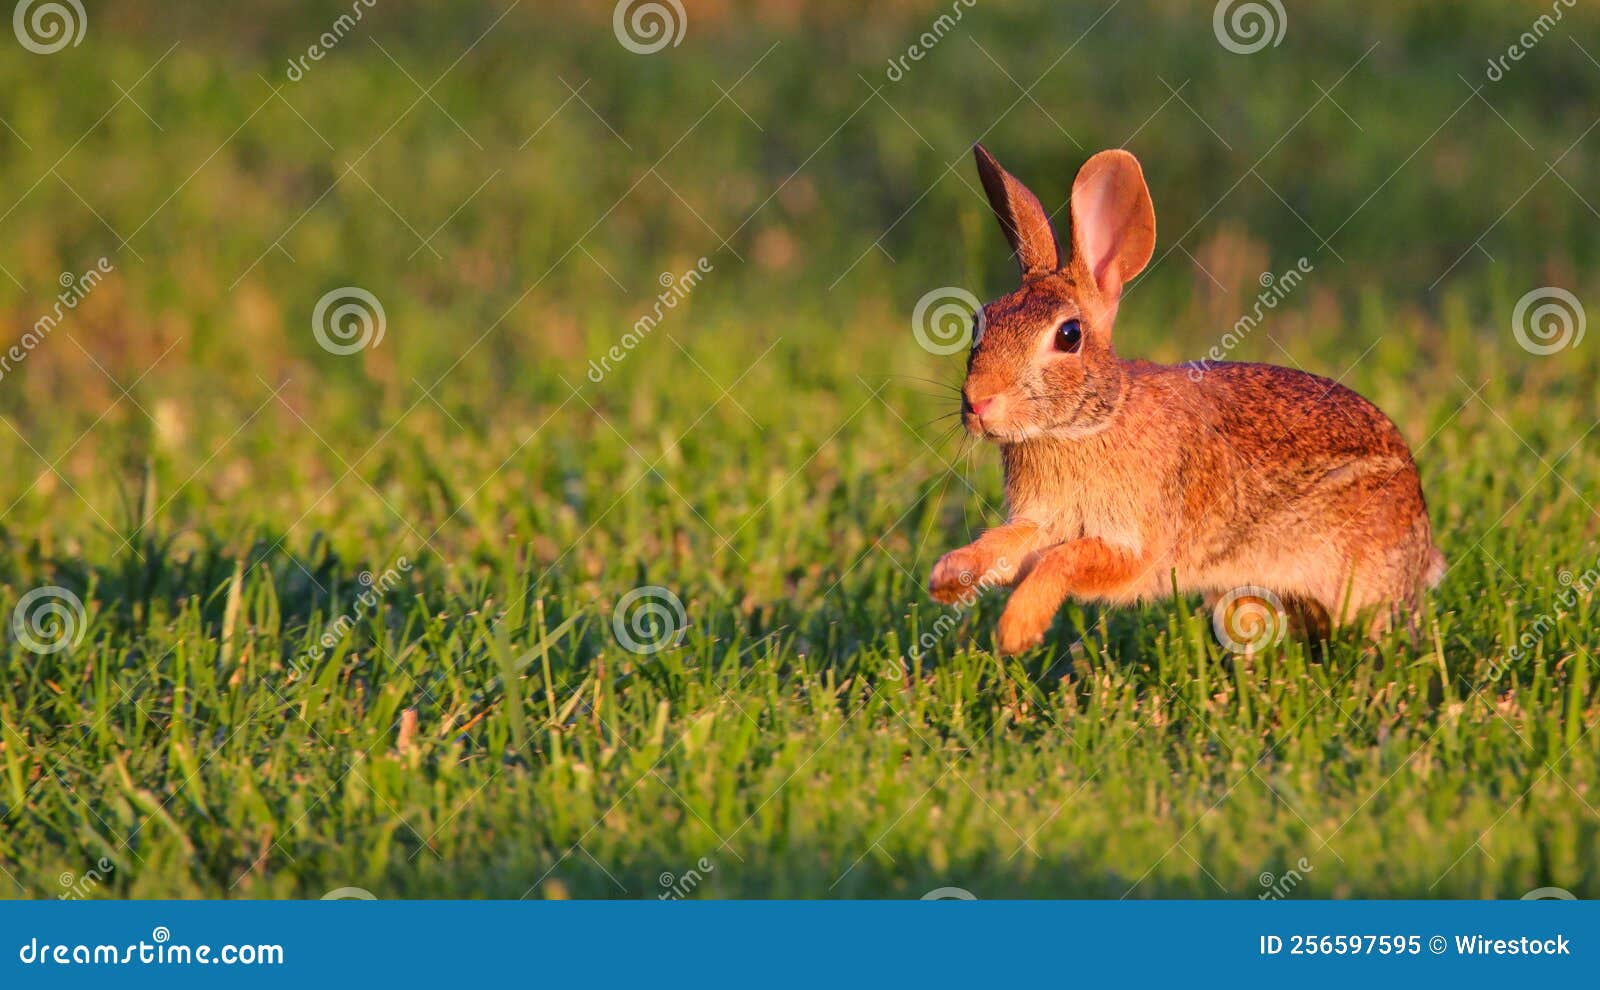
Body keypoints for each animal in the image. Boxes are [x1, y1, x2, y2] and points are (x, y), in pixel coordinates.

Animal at [928, 144, 1444, 656]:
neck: (1090, 421)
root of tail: (1421, 541)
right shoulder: (1042, 522)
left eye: (1069, 335)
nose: (979, 403)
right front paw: (949, 576)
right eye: (979, 320)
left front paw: (1018, 627)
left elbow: (1066, 559)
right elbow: (1008, 546)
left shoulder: (1134, 546)